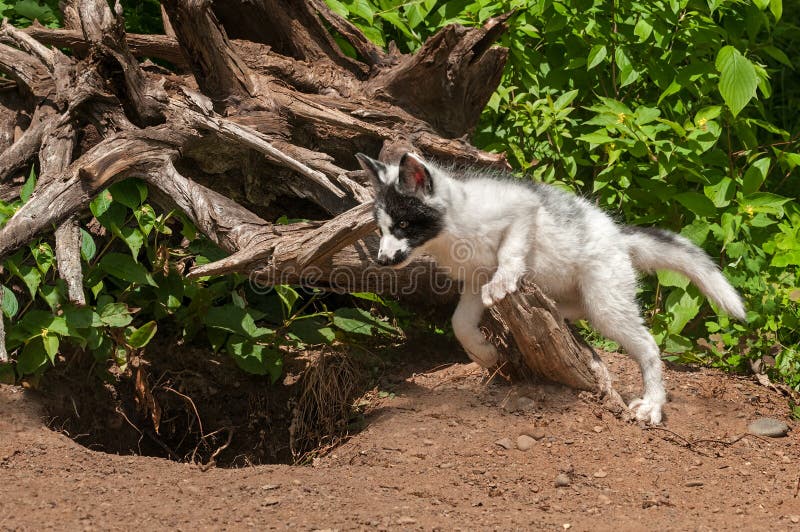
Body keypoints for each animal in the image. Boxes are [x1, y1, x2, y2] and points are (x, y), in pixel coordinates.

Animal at [355, 151, 746, 425]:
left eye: (405, 224)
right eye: (383, 229)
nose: (382, 260)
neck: (453, 228)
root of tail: (619, 236)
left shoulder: (521, 211)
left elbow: (510, 252)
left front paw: (506, 278)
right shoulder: (475, 281)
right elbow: (460, 323)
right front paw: (485, 354)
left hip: (607, 304)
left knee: (649, 346)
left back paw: (652, 404)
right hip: (579, 300)